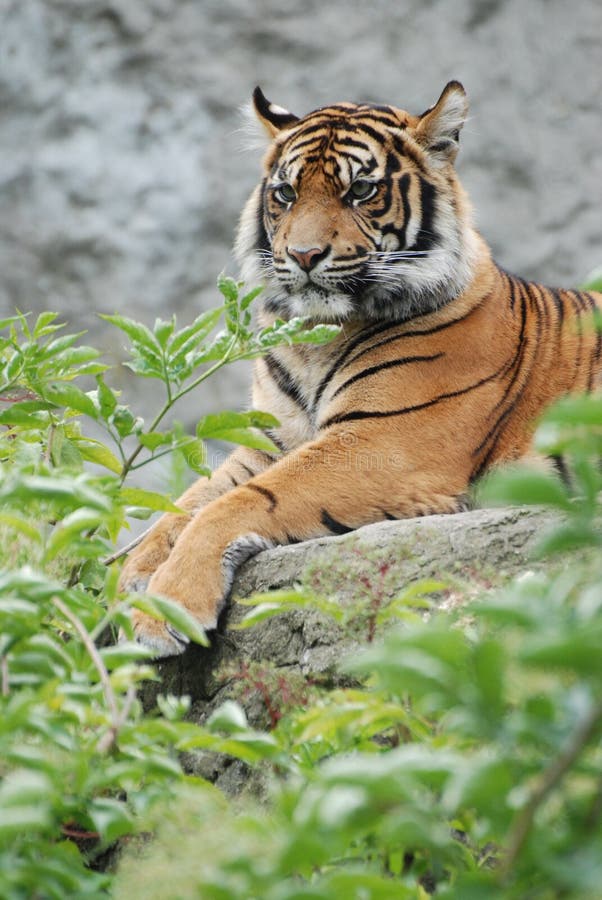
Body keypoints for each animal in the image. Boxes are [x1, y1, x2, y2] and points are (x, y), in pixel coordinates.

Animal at [119, 81, 602, 657]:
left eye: (361, 191)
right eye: (286, 194)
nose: (304, 255)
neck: (317, 337)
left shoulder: (383, 442)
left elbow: (235, 503)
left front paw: (164, 607)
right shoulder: (273, 440)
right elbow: (191, 499)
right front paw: (133, 573)